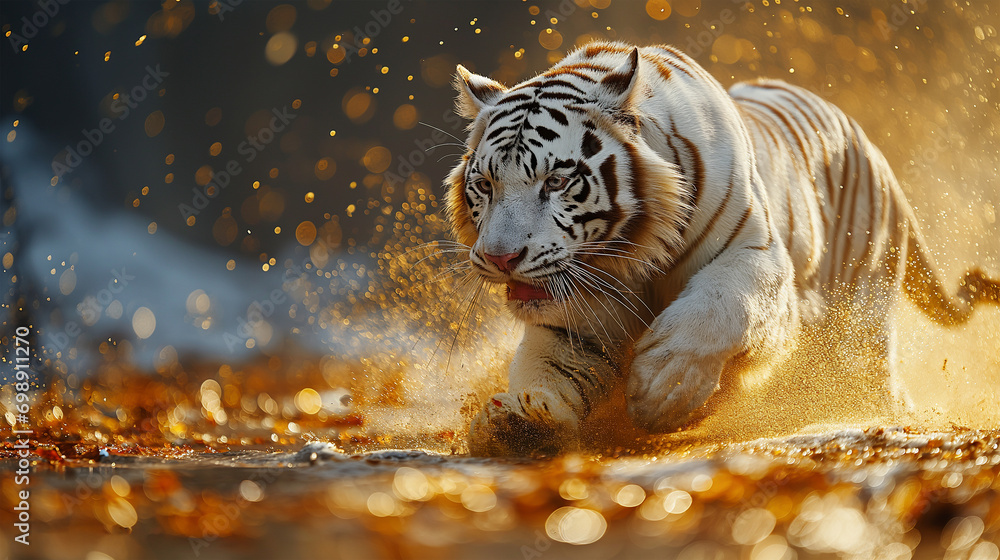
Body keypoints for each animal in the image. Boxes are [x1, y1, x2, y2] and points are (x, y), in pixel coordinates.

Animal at [443, 41, 1000, 456]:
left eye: (556, 181)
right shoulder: (576, 314)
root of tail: (876, 153)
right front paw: (521, 423)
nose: (500, 259)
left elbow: (718, 309)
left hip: (860, 317)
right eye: (486, 185)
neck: (629, 251)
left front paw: (660, 388)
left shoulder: (758, 259)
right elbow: (551, 367)